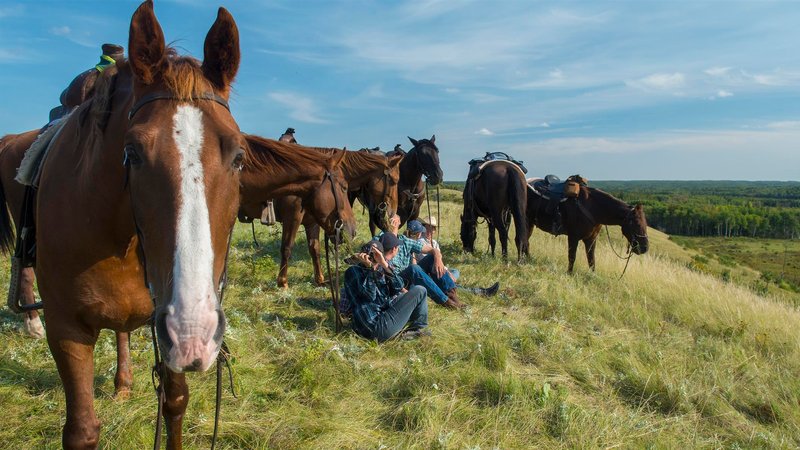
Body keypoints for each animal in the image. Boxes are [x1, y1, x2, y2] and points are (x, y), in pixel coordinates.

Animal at [0, 3, 244, 448]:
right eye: (131, 152)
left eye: (239, 156)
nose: (194, 329)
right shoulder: (67, 329)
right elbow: (81, 430)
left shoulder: (166, 328)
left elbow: (175, 405)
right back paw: (30, 322)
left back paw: (124, 381)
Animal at [266, 145, 403, 287]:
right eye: (394, 181)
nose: (393, 212)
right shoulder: (292, 218)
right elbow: (287, 247)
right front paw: (282, 282)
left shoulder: (312, 222)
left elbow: (314, 248)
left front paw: (320, 279)